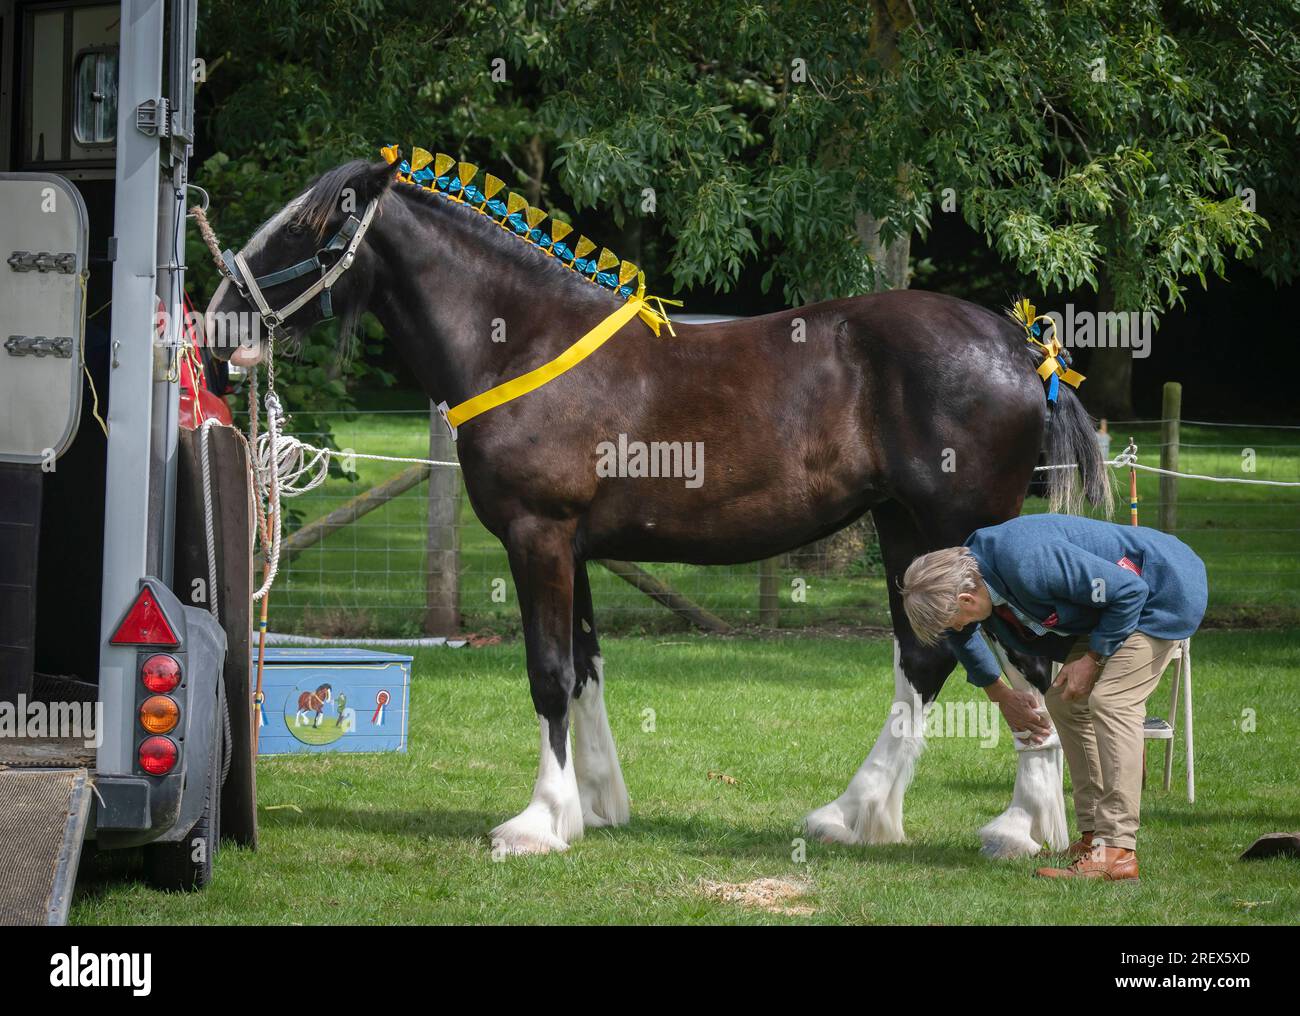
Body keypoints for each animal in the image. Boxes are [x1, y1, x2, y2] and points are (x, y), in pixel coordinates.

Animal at [204, 154, 1111, 856]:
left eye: (308, 230)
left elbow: (548, 673)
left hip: (966, 532)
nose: (214, 332)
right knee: (925, 660)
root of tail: (1023, 352)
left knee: (1025, 659)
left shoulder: (537, 537)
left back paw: (1022, 827)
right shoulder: (572, 549)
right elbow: (585, 671)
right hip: (904, 530)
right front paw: (594, 808)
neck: (520, 341)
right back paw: (856, 816)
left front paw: (537, 822)